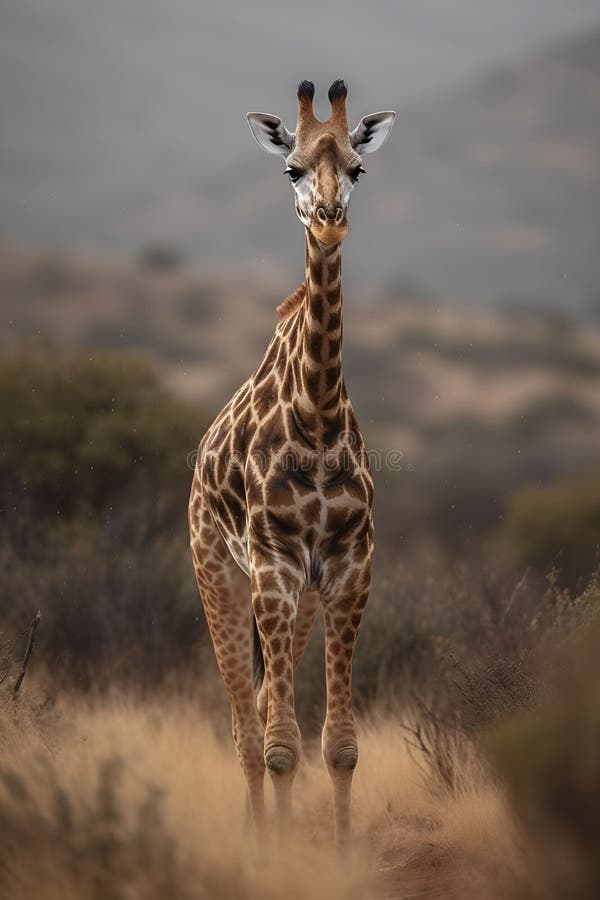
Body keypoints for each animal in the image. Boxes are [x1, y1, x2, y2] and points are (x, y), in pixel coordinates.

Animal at [188, 79, 395, 853]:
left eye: (358, 169)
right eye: (291, 169)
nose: (330, 220)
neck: (318, 418)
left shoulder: (348, 567)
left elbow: (339, 747)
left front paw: (340, 856)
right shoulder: (273, 566)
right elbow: (280, 747)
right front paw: (278, 858)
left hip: (297, 597)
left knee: (270, 715)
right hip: (217, 572)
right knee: (248, 731)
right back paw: (255, 841)